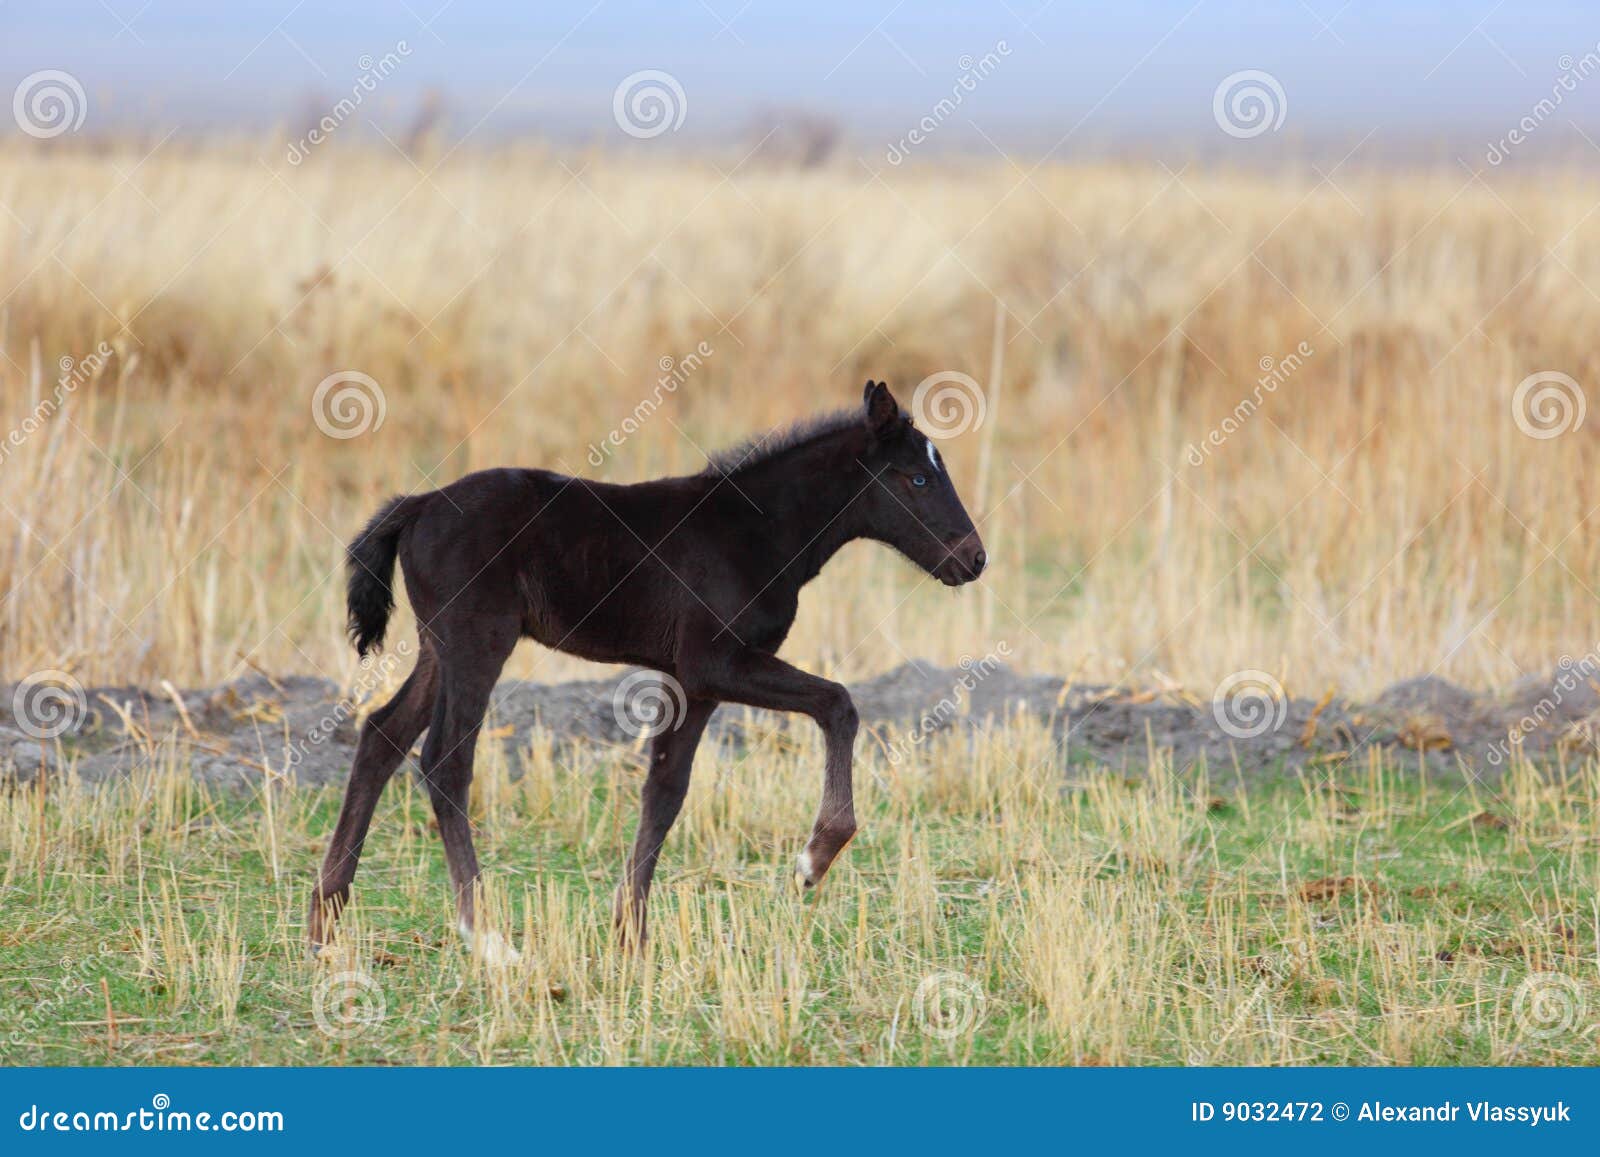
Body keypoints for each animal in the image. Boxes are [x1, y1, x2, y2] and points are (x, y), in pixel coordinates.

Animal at [309, 380, 986, 962]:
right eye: (917, 477)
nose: (974, 559)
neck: (755, 528)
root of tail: (418, 504)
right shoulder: (714, 663)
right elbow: (838, 702)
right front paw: (813, 860)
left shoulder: (690, 680)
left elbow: (665, 789)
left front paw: (629, 933)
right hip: (478, 643)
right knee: (445, 759)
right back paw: (486, 938)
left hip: (439, 648)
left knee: (382, 734)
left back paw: (325, 921)